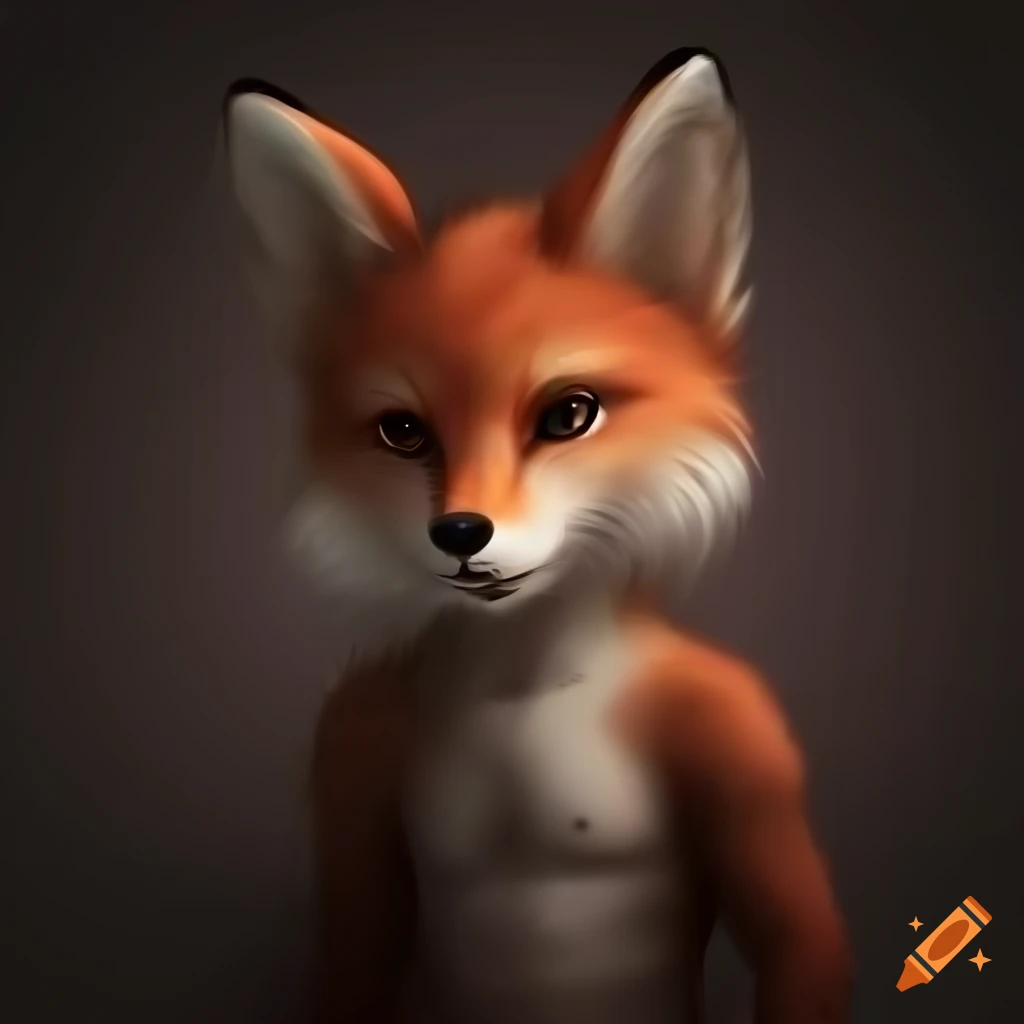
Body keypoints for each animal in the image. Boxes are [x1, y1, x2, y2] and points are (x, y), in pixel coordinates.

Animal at [222, 48, 852, 1024]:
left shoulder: (731, 726)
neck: (526, 689)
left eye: (568, 415)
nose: (459, 531)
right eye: (404, 433)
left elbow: (798, 936)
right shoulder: (352, 736)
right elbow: (359, 946)